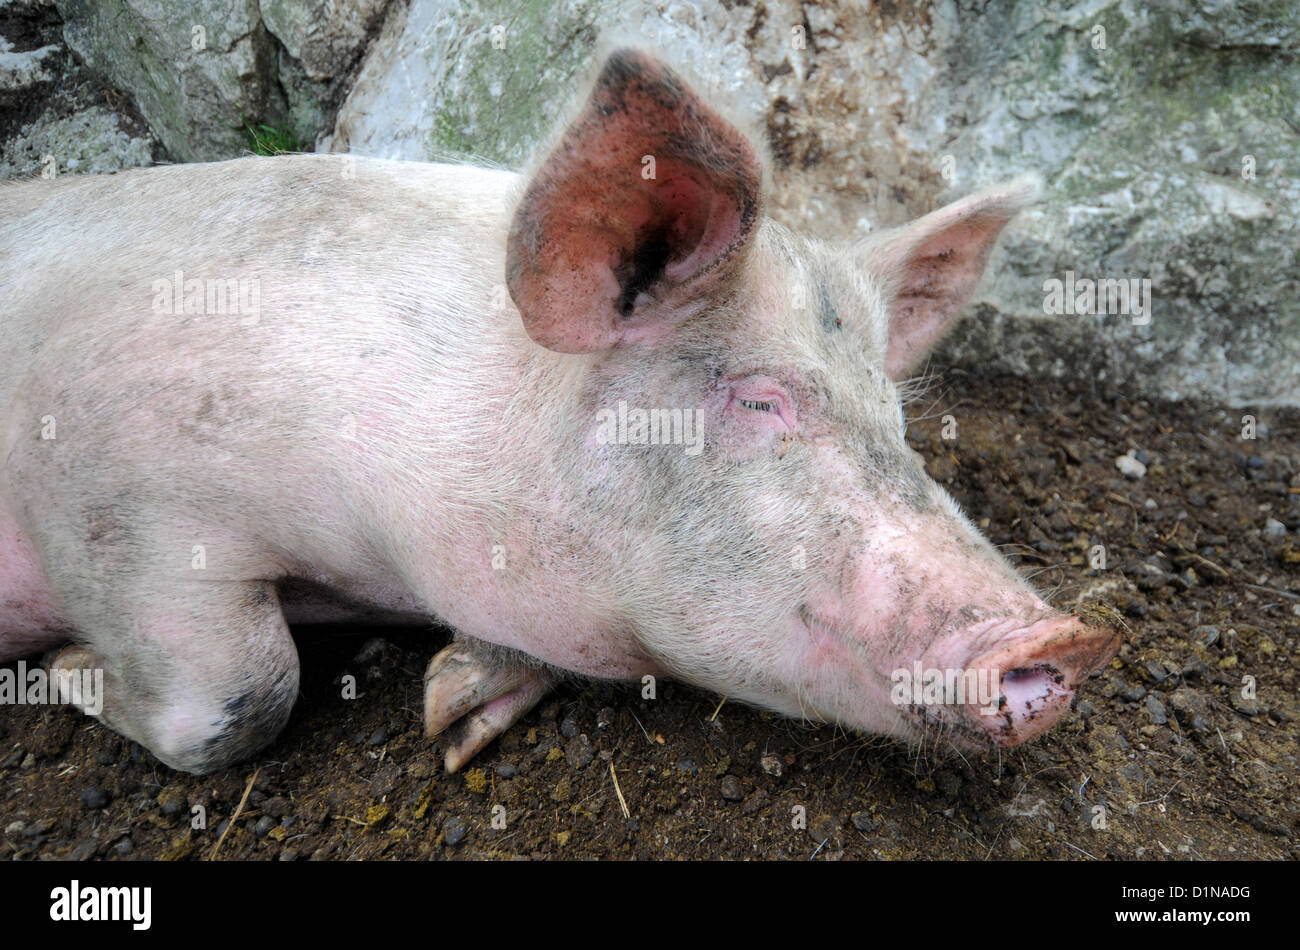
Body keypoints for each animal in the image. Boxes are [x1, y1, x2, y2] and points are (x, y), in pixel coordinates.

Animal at [0, 48, 1119, 775]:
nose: (1069, 637)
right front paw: (62, 666)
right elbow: (241, 694)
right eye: (760, 397)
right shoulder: (108, 486)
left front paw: (452, 715)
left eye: (894, 414)